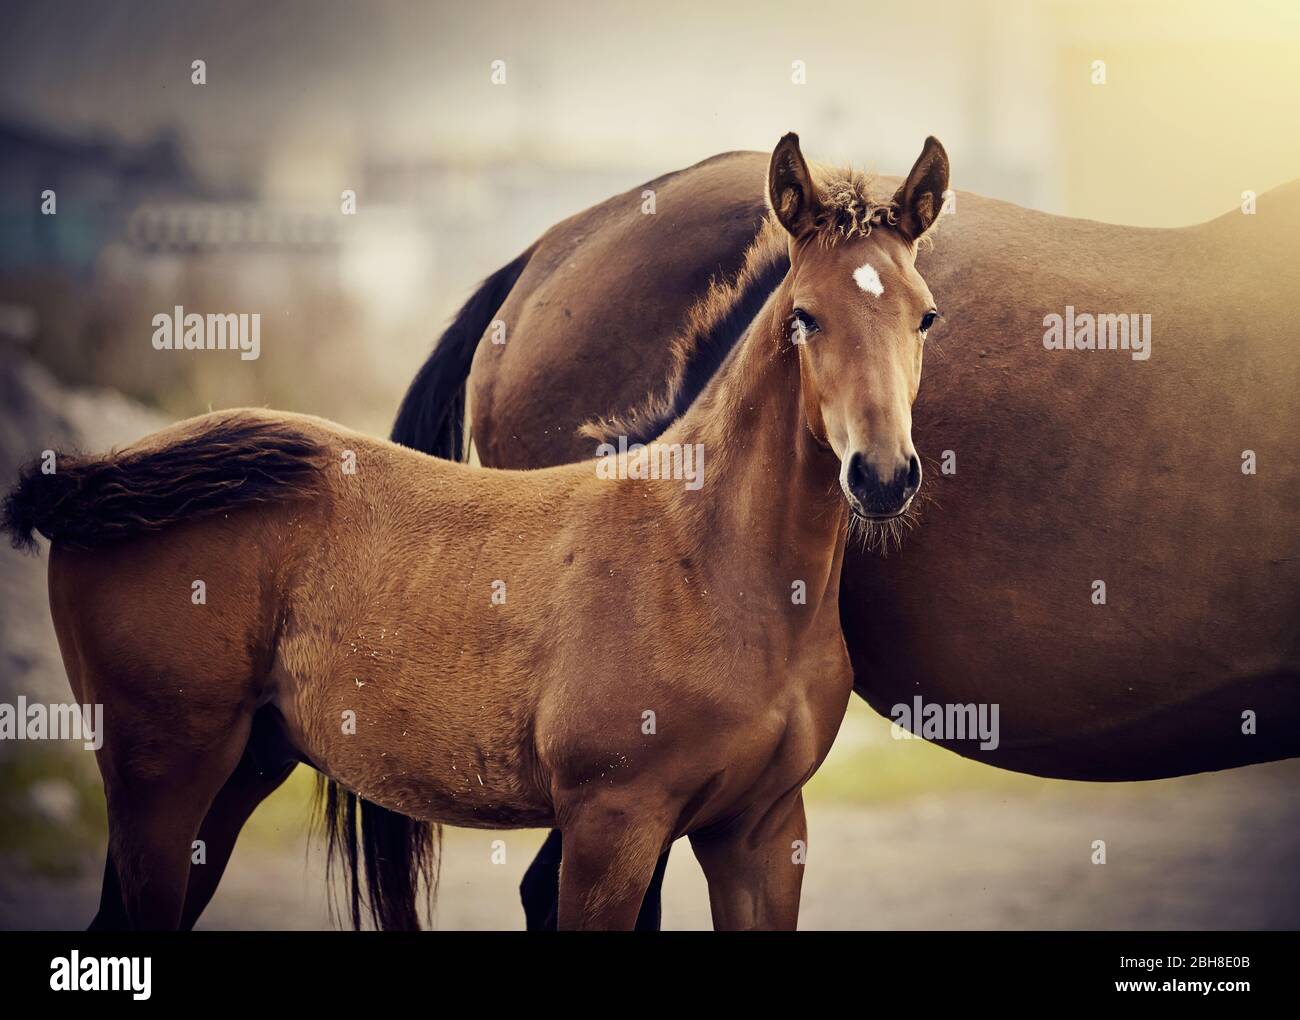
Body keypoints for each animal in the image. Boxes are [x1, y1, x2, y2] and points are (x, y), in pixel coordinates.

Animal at [3, 134, 953, 931]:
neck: (707, 559)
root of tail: (109, 478)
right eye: (803, 316)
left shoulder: (760, 834)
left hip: (239, 775)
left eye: (926, 316)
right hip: (160, 778)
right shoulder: (613, 827)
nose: (882, 476)